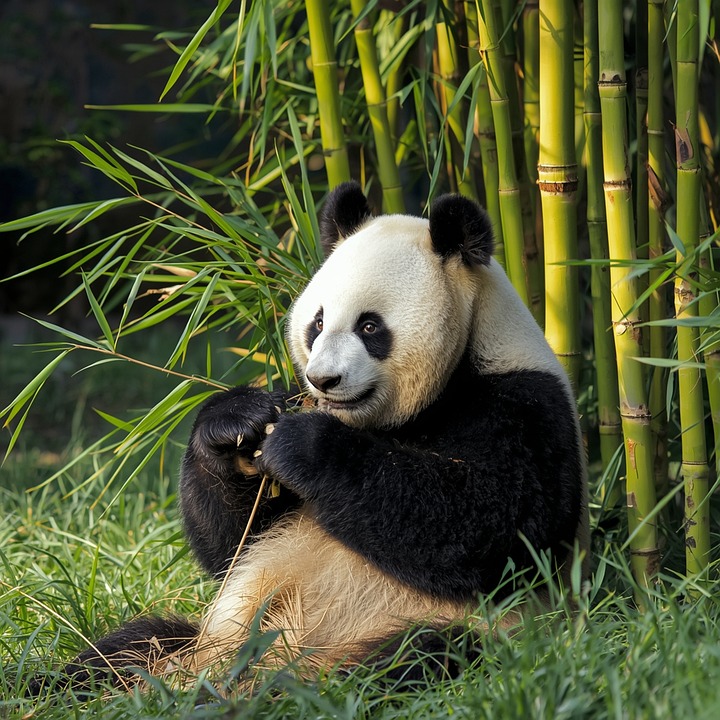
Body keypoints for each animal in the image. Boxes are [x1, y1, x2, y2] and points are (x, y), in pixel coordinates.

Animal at [63, 182, 588, 690]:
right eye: (317, 323)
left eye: (370, 326)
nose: (323, 380)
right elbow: (233, 546)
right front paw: (239, 423)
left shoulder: (525, 409)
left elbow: (493, 525)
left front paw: (304, 445)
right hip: (198, 642)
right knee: (131, 643)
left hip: (452, 634)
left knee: (417, 658)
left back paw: (282, 691)